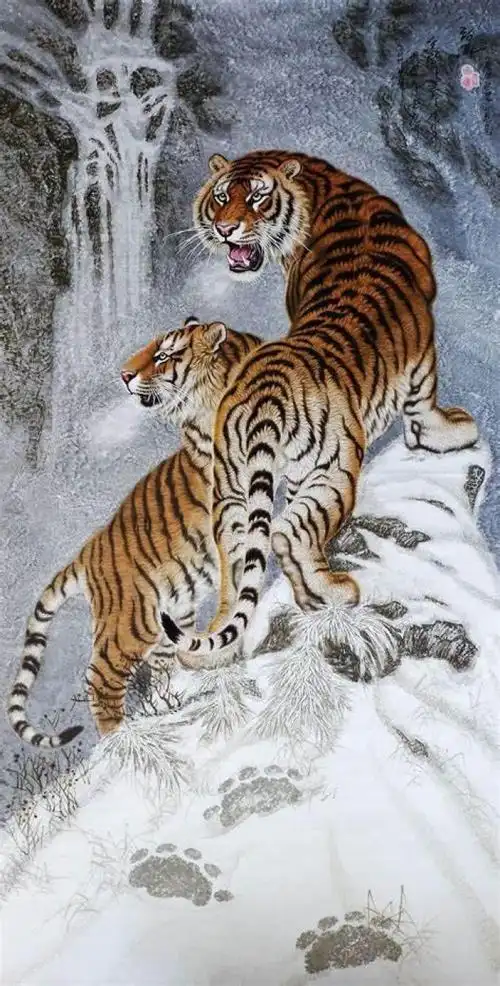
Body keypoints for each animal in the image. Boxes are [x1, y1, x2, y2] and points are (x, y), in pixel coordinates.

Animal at [8, 317, 261, 747]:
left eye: (163, 355)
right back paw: (120, 740)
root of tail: (86, 552)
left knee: (162, 666)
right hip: (128, 623)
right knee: (100, 679)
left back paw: (167, 702)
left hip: (171, 613)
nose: (124, 375)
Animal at [161, 149, 478, 666]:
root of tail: (265, 391)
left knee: (238, 562)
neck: (326, 189)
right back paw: (332, 592)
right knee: (287, 533)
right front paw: (451, 432)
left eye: (256, 198)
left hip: (229, 487)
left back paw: (214, 648)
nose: (226, 229)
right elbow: (423, 405)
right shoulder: (423, 348)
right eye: (222, 197)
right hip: (335, 471)